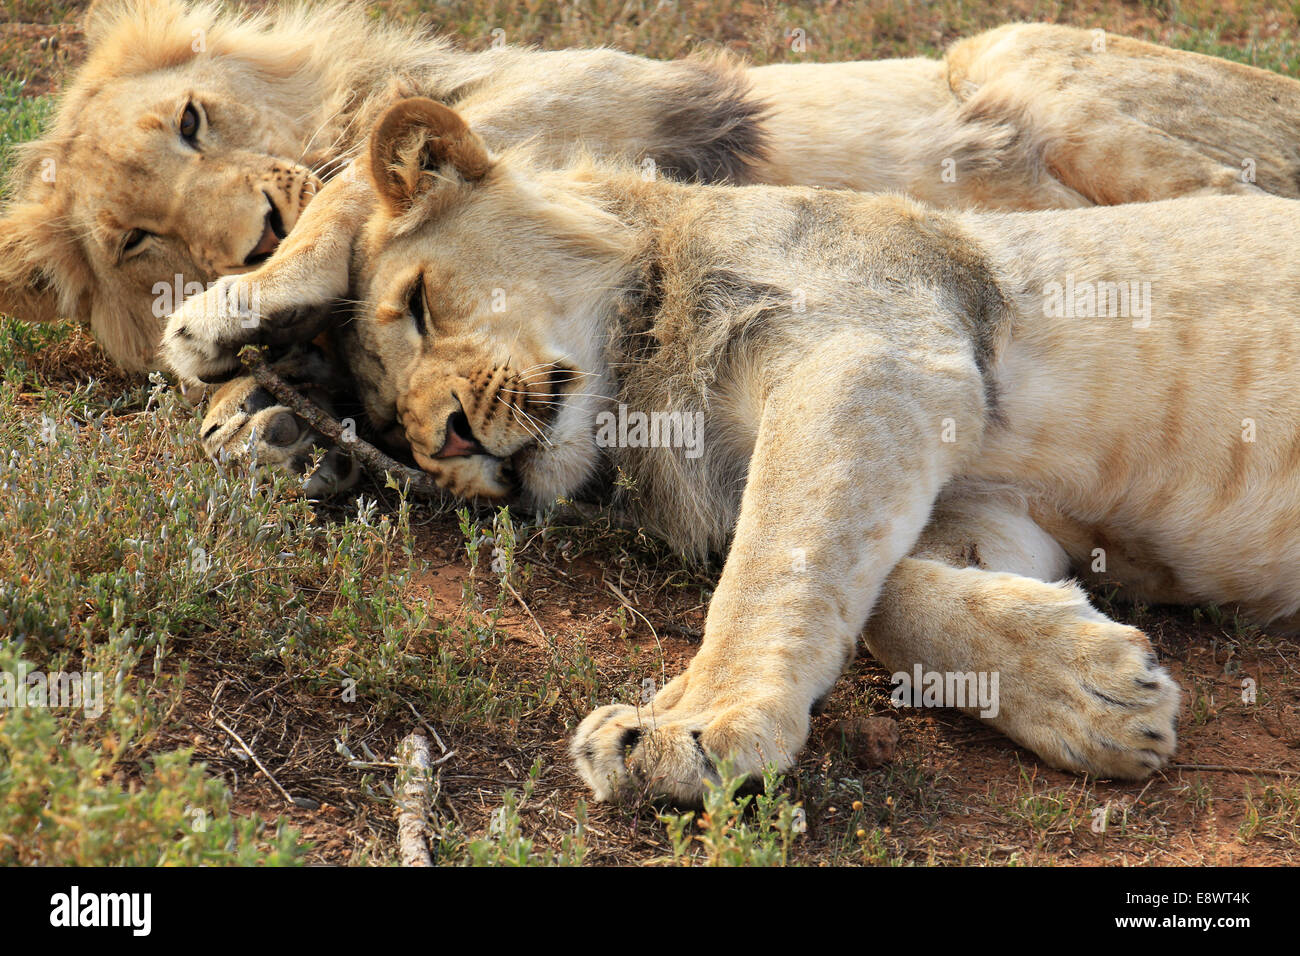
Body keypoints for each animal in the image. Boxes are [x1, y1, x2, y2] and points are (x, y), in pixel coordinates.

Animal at [5, 0, 1300, 491]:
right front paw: (268, 413)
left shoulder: (577, 130)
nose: (246, 241)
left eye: (193, 119)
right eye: (136, 236)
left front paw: (225, 324)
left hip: (1014, 53)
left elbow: (354, 194)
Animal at [161, 97, 1300, 803]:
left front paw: (691, 727)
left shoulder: (878, 348)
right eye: (394, 423)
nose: (445, 443)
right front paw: (1095, 692)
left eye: (421, 303)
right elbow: (890, 598)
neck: (644, 389)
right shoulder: (986, 507)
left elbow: (775, 553)